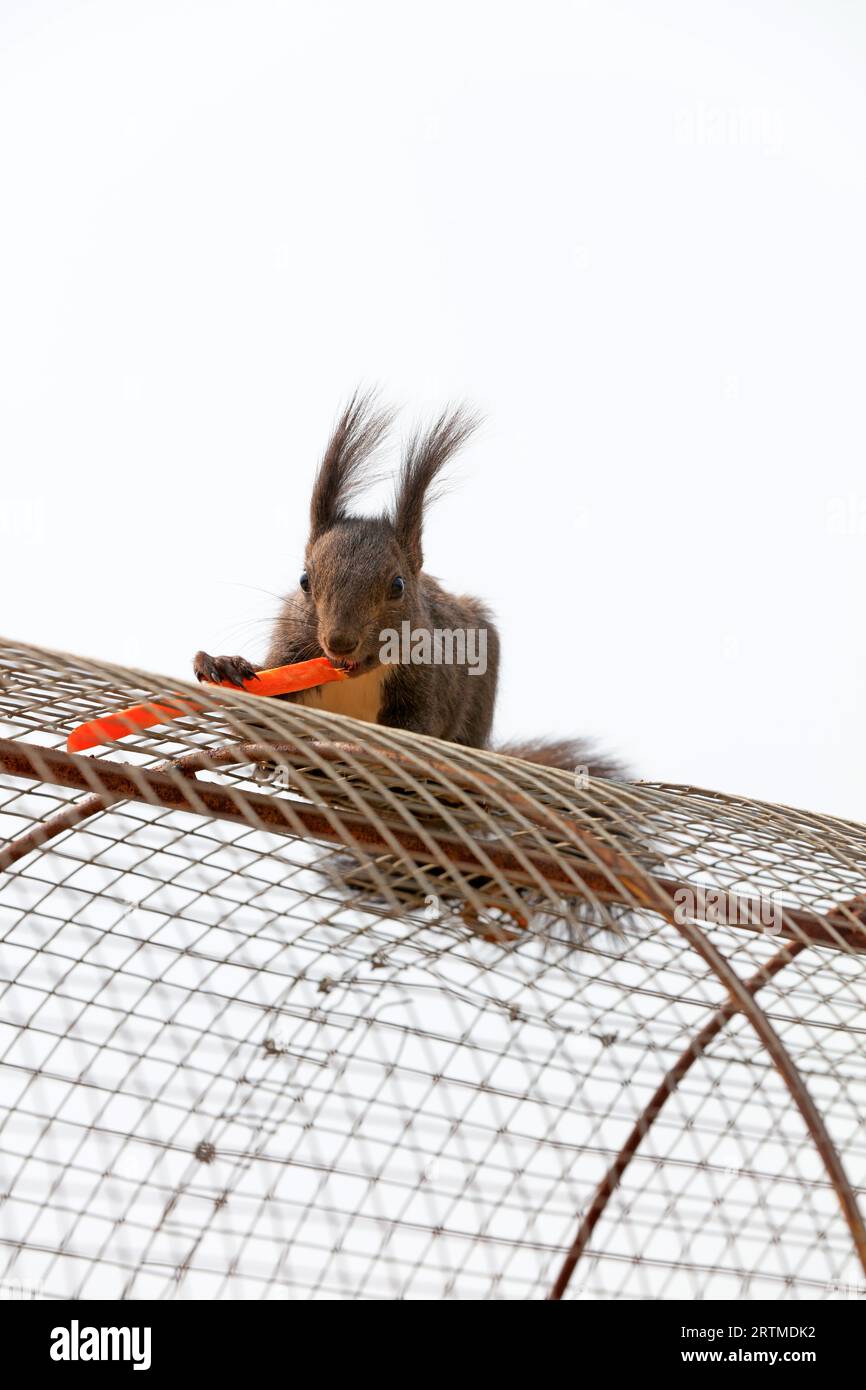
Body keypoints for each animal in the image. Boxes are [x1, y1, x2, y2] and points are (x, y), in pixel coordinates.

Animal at [193, 391, 623, 780]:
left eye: (398, 586)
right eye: (304, 581)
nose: (340, 642)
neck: (358, 676)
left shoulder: (427, 683)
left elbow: (415, 734)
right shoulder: (291, 653)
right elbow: (253, 724)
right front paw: (223, 664)